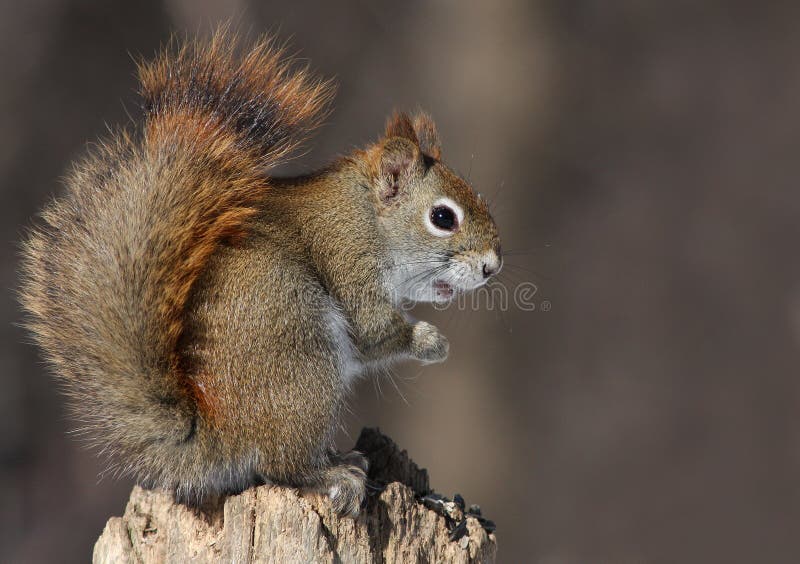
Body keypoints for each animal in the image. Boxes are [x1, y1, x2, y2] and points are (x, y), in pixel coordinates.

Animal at [19, 31, 501, 516]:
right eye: (442, 217)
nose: (491, 266)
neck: (365, 216)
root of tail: (220, 435)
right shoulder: (350, 261)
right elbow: (374, 332)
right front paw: (431, 342)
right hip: (303, 361)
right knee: (282, 465)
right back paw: (333, 473)